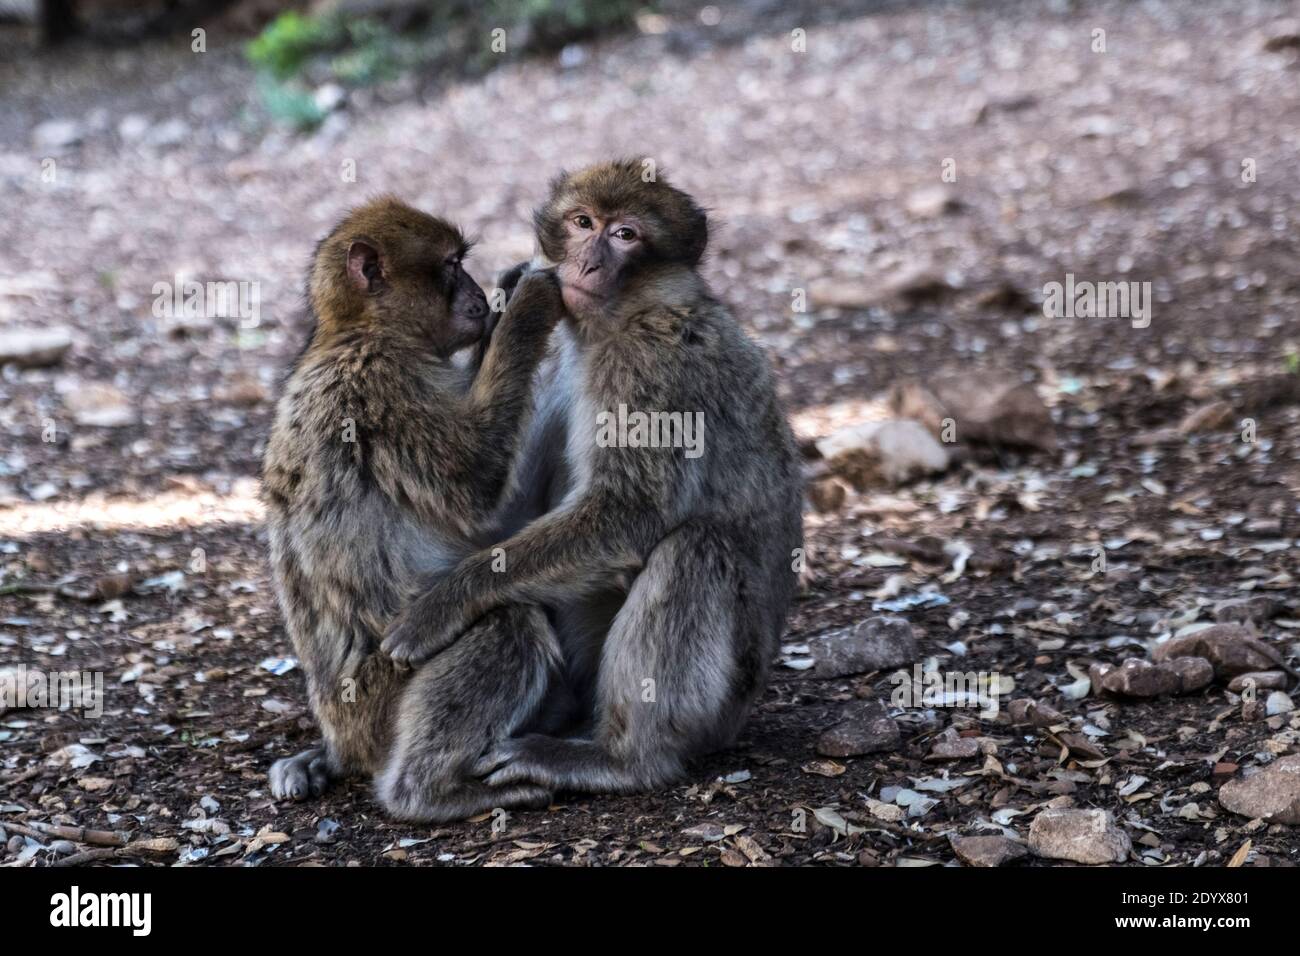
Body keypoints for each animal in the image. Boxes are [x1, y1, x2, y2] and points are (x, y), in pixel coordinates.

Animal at [261, 195, 567, 821]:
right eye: (451, 265)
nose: (477, 296)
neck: (361, 330)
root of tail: (345, 736)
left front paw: (509, 297)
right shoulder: (384, 382)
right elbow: (474, 483)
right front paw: (528, 307)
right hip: (378, 700)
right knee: (508, 622)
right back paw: (427, 793)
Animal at [380, 161, 805, 794]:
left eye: (625, 234)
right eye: (583, 223)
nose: (586, 264)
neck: (618, 321)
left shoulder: (653, 369)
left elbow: (629, 513)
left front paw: (443, 605)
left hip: (726, 702)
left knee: (694, 548)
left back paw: (623, 759)